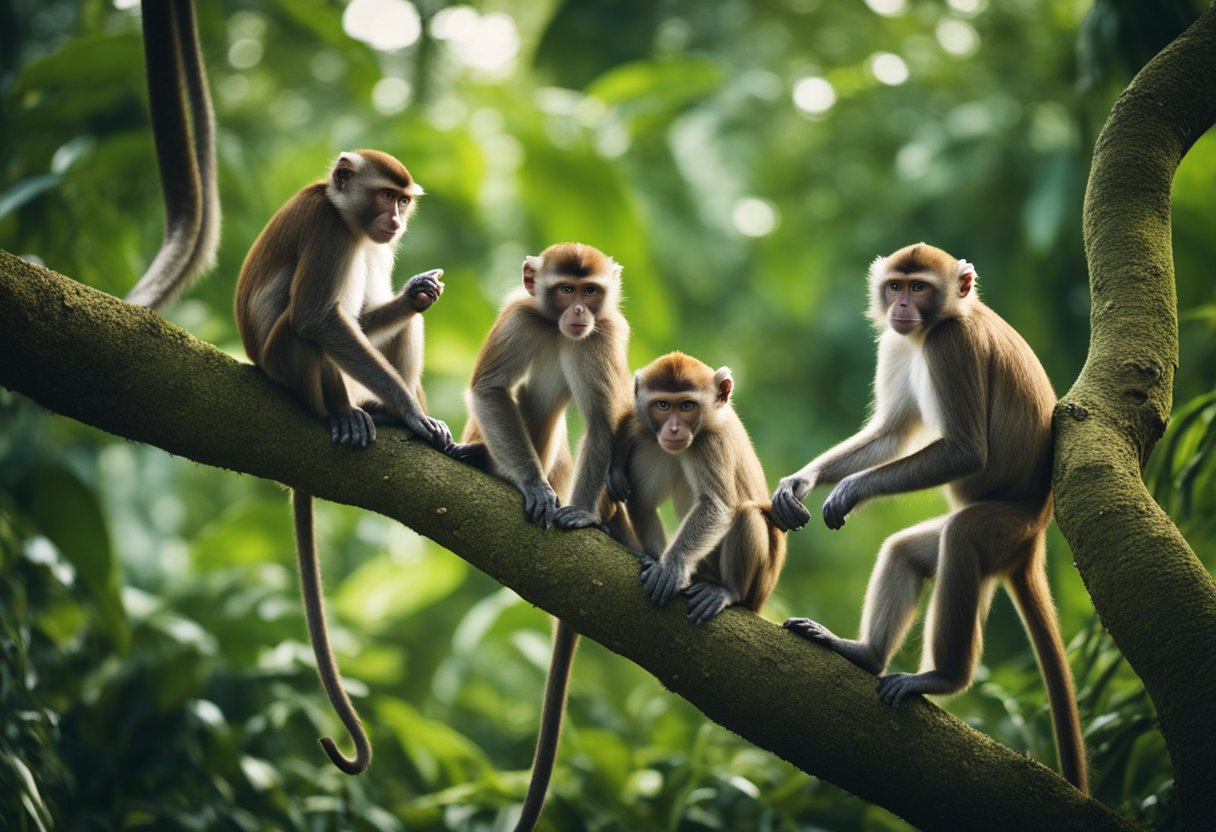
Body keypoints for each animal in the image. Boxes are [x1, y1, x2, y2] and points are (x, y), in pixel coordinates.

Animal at [234, 150, 452, 775]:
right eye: (386, 196)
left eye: (403, 200)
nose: (396, 221)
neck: (347, 217)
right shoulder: (329, 232)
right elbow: (320, 319)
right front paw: (412, 412)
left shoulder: (372, 246)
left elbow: (371, 314)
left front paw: (417, 293)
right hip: (287, 365)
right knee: (305, 327)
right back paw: (351, 415)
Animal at [453, 242, 631, 831]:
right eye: (565, 289)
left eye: (591, 291)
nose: (577, 312)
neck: (559, 330)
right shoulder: (521, 317)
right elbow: (489, 390)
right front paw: (530, 486)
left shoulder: (602, 336)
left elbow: (603, 422)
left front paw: (577, 514)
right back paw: (480, 458)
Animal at [606, 352, 787, 624]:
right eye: (663, 405)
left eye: (687, 405)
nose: (673, 429)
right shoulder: (650, 443)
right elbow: (644, 504)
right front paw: (654, 558)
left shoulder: (711, 442)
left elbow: (717, 506)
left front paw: (672, 567)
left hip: (759, 586)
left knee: (746, 514)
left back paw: (729, 591)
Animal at [769, 243, 1087, 792]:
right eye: (896, 286)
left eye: (920, 288)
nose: (901, 307)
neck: (943, 320)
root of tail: (1036, 531)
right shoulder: (899, 344)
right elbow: (891, 433)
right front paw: (802, 482)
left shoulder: (948, 345)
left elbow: (966, 452)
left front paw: (851, 490)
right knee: (907, 551)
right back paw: (865, 654)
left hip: (1001, 525)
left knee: (959, 539)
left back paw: (941, 678)